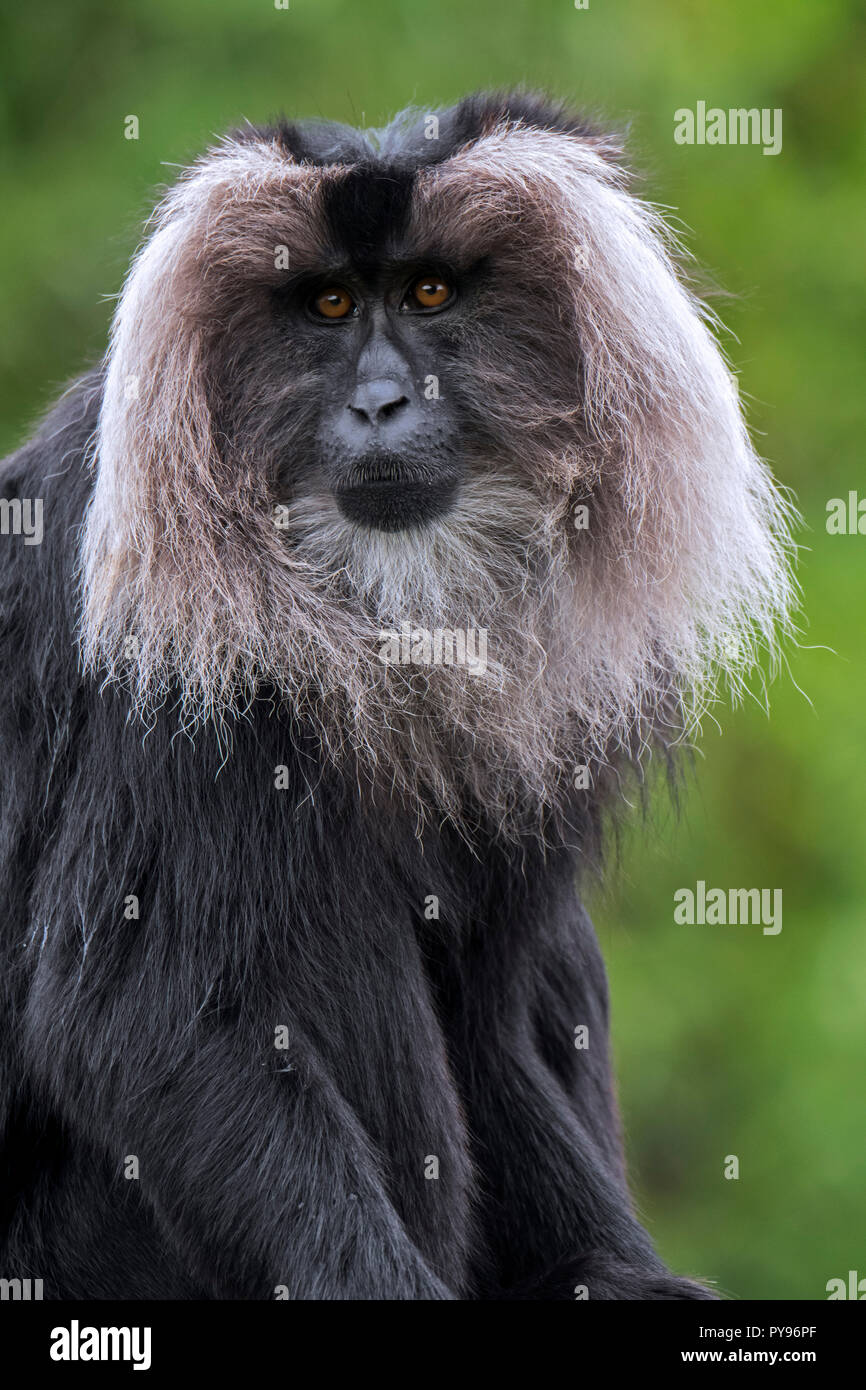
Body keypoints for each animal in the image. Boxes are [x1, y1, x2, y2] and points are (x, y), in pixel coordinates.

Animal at [0, 91, 794, 1300]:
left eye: (429, 293)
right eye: (328, 303)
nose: (380, 403)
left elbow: (493, 1018)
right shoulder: (152, 621)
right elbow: (151, 1018)